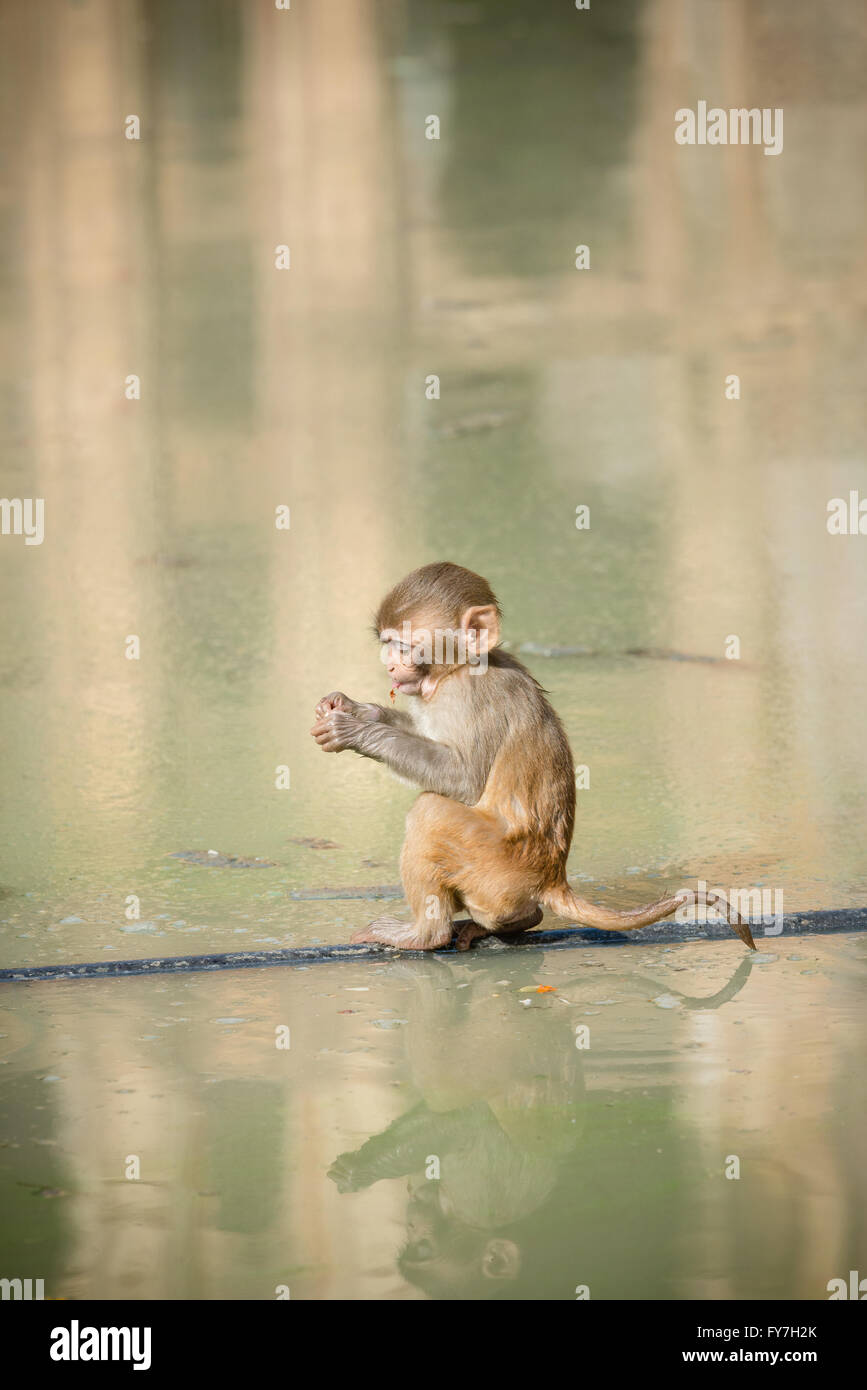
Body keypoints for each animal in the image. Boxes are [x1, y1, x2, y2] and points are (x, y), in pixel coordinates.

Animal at [310, 561, 756, 953]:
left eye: (403, 645)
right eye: (386, 643)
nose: (389, 666)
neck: (459, 668)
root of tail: (552, 878)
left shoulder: (470, 696)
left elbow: (462, 778)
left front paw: (354, 731)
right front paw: (354, 709)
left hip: (492, 866)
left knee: (431, 813)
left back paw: (426, 934)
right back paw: (518, 922)